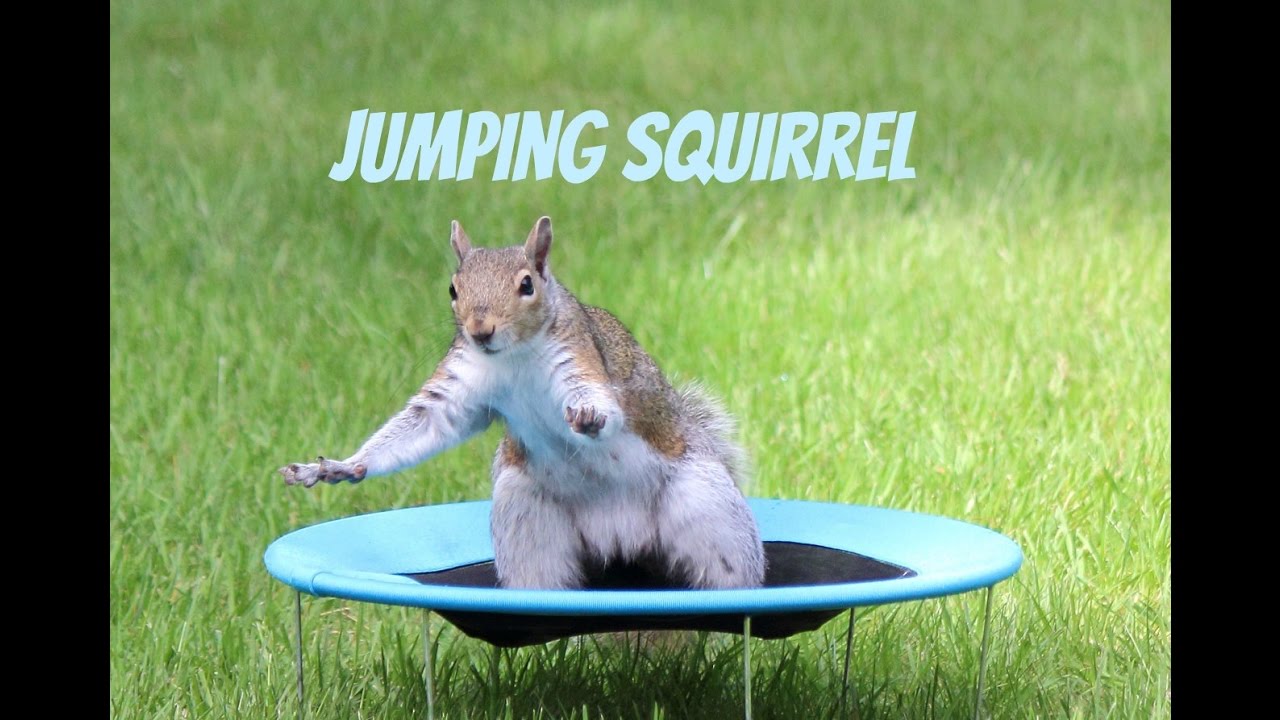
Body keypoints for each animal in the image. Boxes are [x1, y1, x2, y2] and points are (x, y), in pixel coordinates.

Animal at [279, 216, 766, 590]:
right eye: (453, 289)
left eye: (527, 285)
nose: (480, 330)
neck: (513, 357)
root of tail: (622, 540)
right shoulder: (459, 384)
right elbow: (427, 422)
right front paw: (339, 467)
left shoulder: (581, 356)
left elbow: (600, 401)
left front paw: (589, 416)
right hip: (526, 517)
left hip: (706, 505)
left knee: (727, 572)